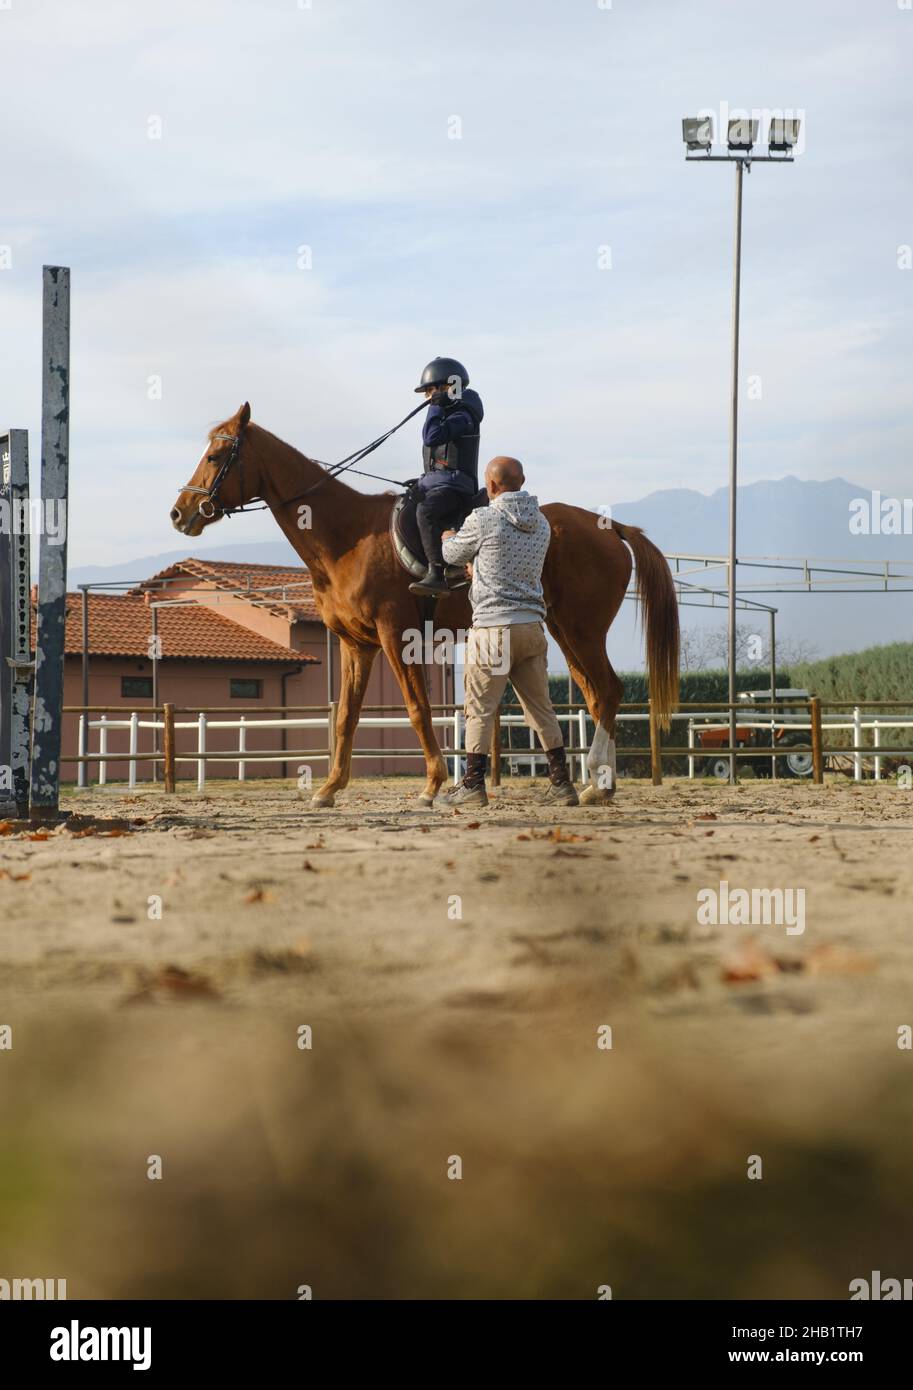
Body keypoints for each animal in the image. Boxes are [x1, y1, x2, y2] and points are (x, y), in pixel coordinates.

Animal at [169, 403, 679, 807]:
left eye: (216, 456)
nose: (179, 514)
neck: (346, 536)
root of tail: (609, 527)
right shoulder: (357, 646)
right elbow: (346, 718)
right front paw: (330, 789)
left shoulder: (397, 634)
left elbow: (417, 707)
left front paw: (433, 785)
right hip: (564, 632)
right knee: (596, 695)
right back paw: (596, 785)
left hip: (580, 630)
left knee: (607, 691)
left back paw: (597, 784)